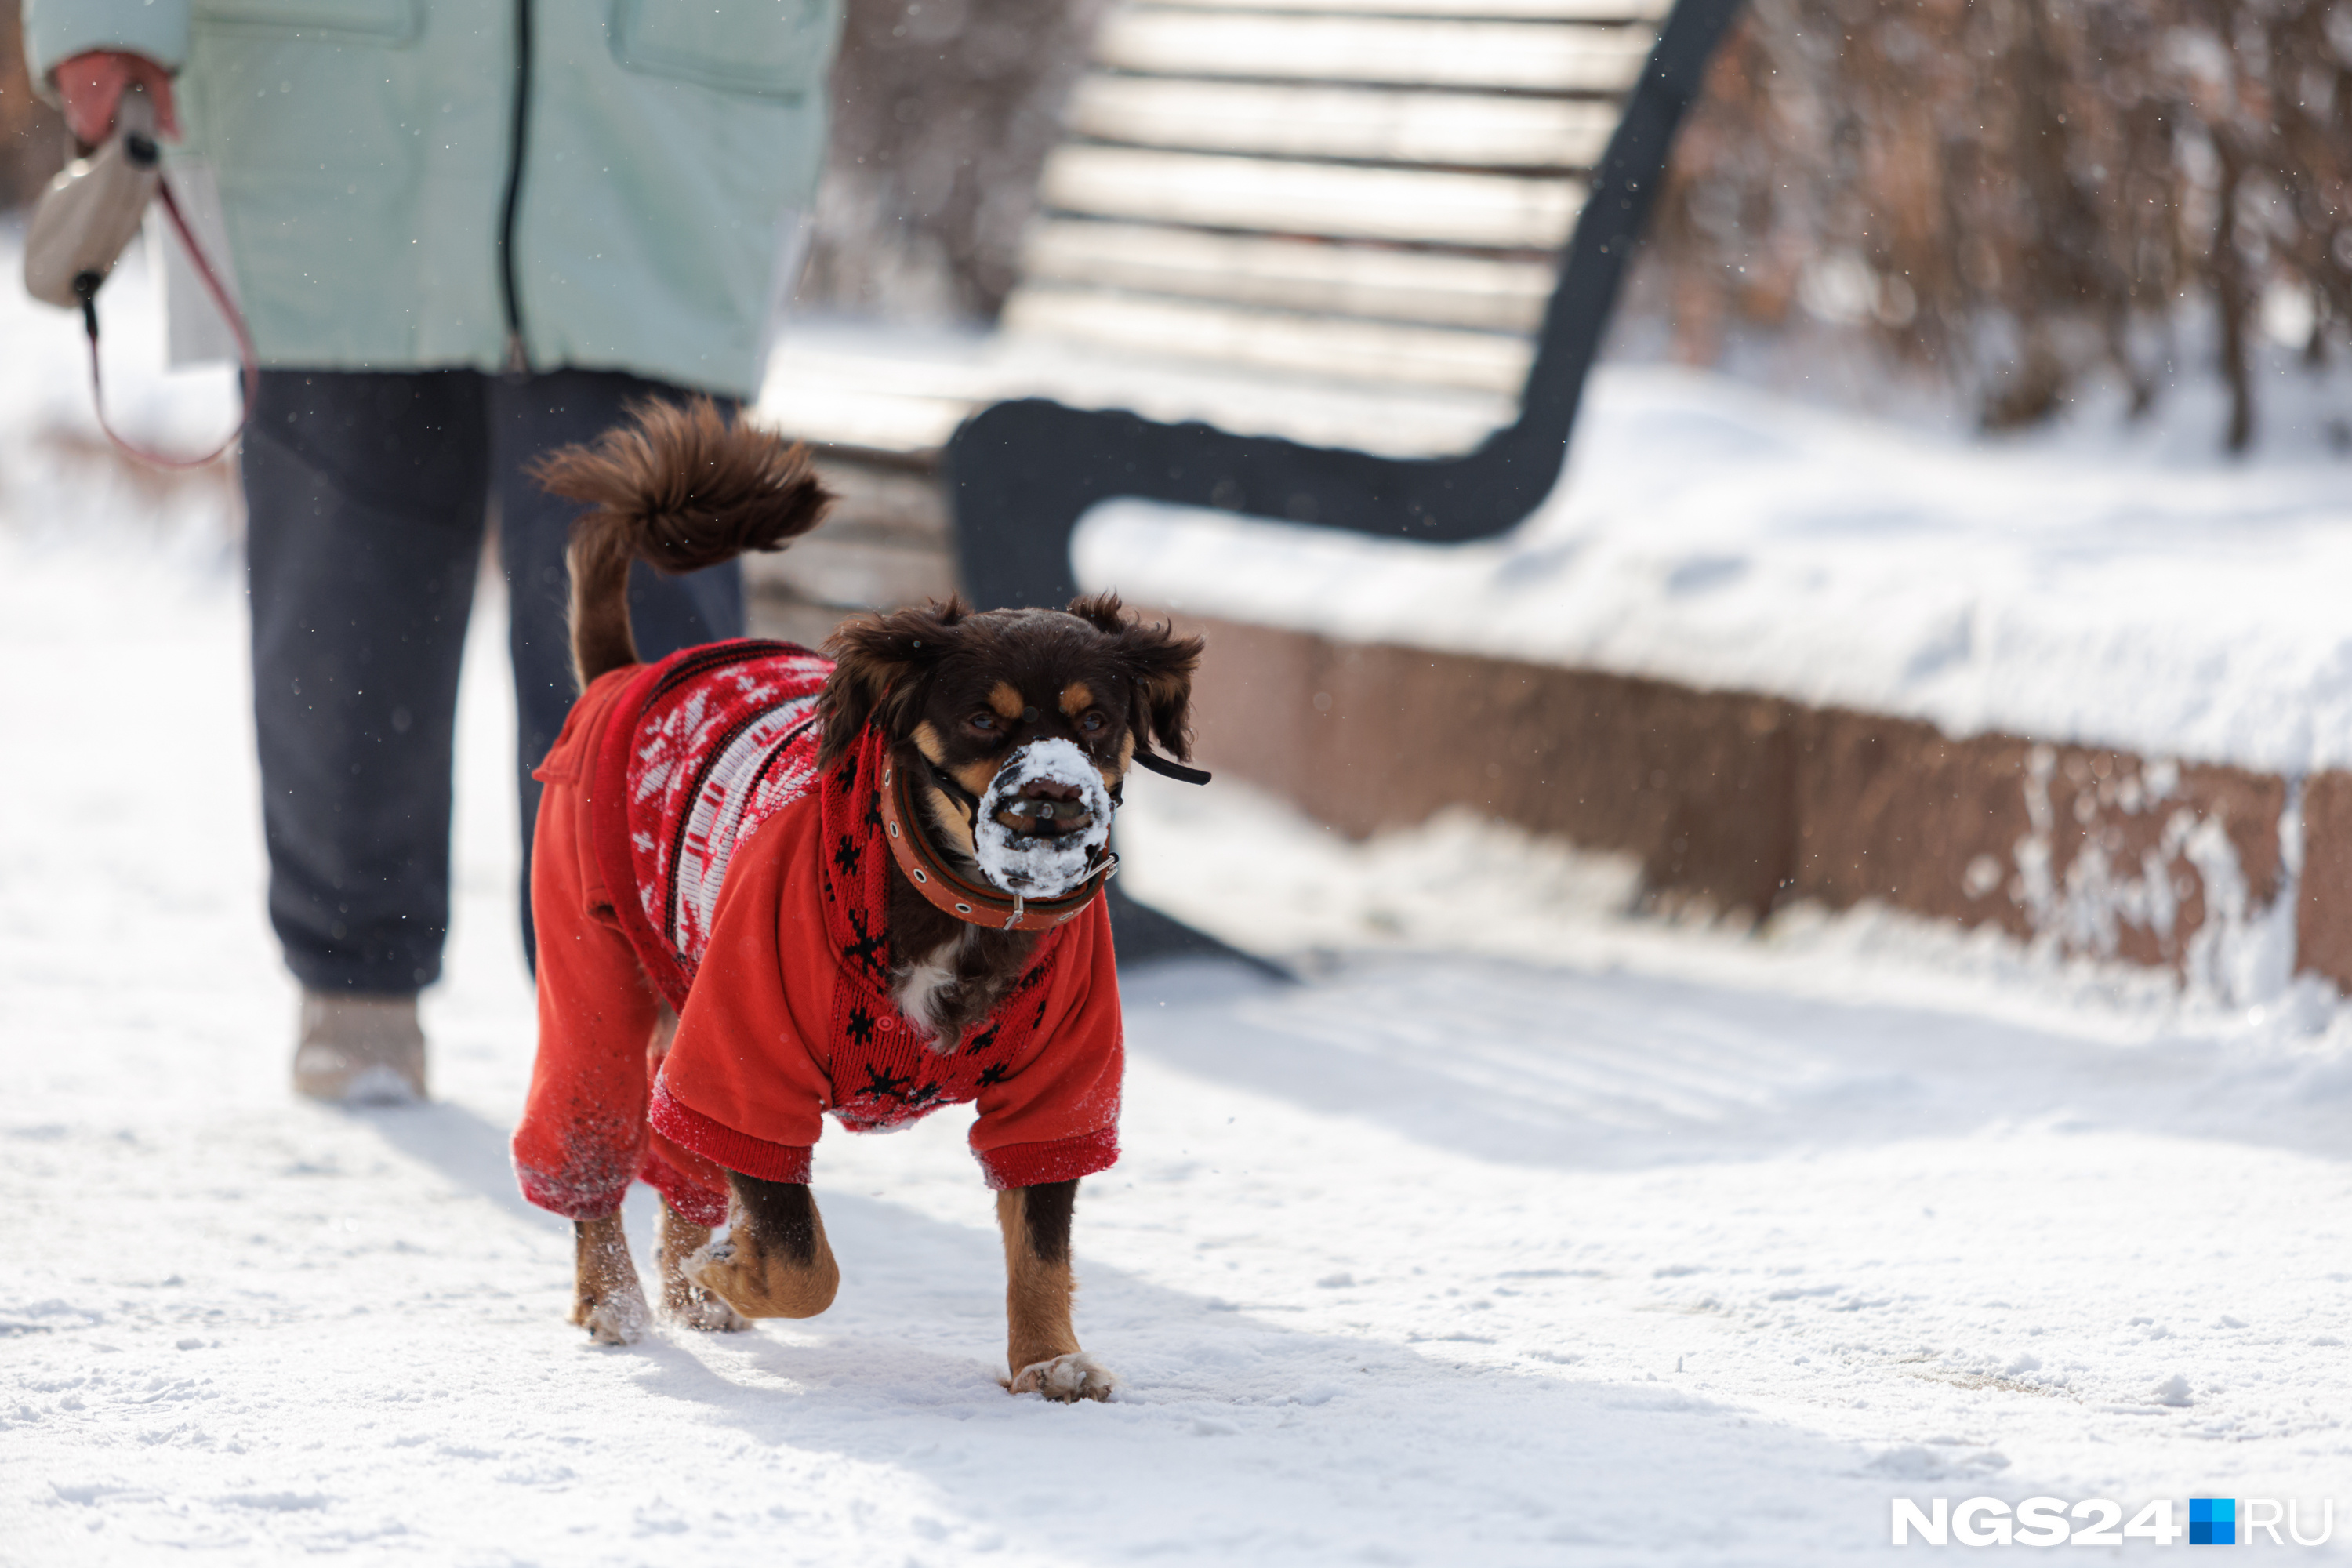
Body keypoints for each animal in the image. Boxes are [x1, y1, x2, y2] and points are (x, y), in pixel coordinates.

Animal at [508, 399, 1204, 1401]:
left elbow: (1040, 1242)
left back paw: (687, 1291)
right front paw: (734, 1268)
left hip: (684, 998)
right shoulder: (747, 1061)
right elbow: (805, 1259)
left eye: (1097, 720)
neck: (958, 909)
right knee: (594, 1144)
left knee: (676, 1155)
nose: (1054, 797)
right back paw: (618, 1299)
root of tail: (623, 674)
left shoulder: (1060, 1089)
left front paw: (1047, 1358)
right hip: (593, 976)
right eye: (982, 717)